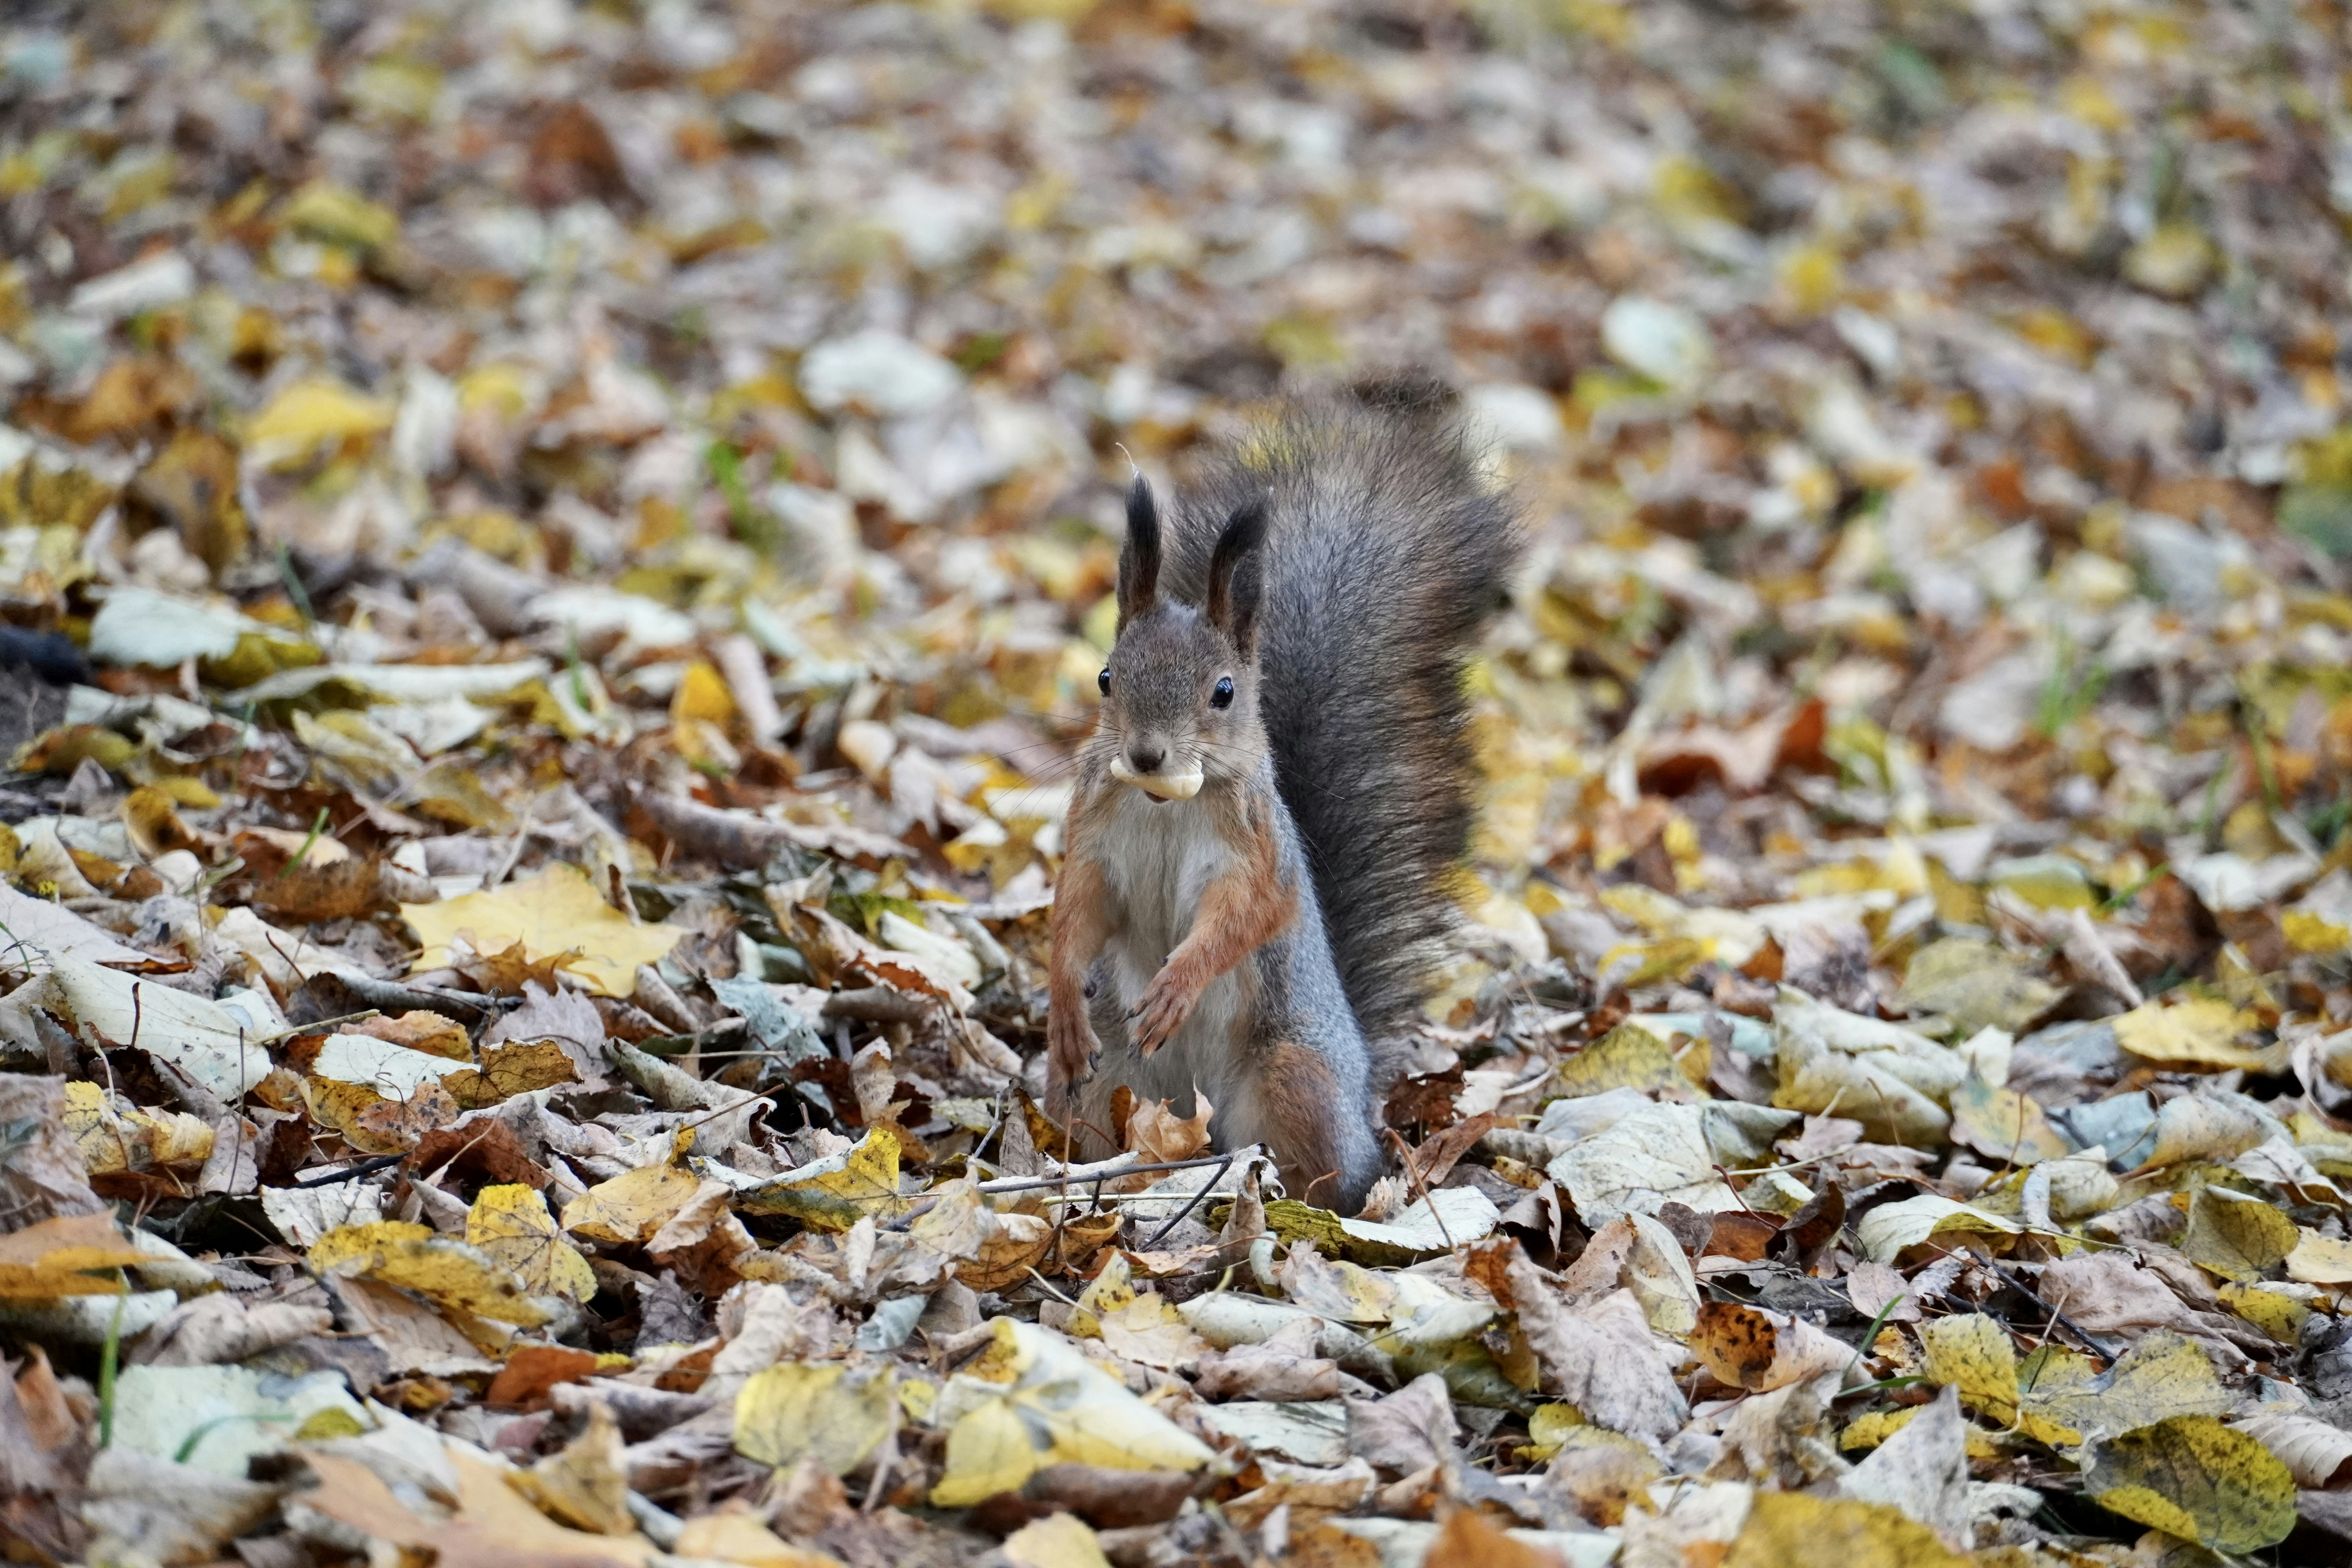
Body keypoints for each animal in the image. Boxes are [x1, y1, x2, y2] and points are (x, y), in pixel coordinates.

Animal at [1046, 388, 1523, 1213]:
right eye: (1107, 678)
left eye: (1224, 692)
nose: (1146, 755)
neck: (1166, 805)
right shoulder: (1094, 837)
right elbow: (1079, 912)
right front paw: (1063, 1009)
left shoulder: (1258, 853)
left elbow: (1245, 917)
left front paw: (1179, 985)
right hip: (1111, 1085)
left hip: (1293, 1078)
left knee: (1326, 1172)